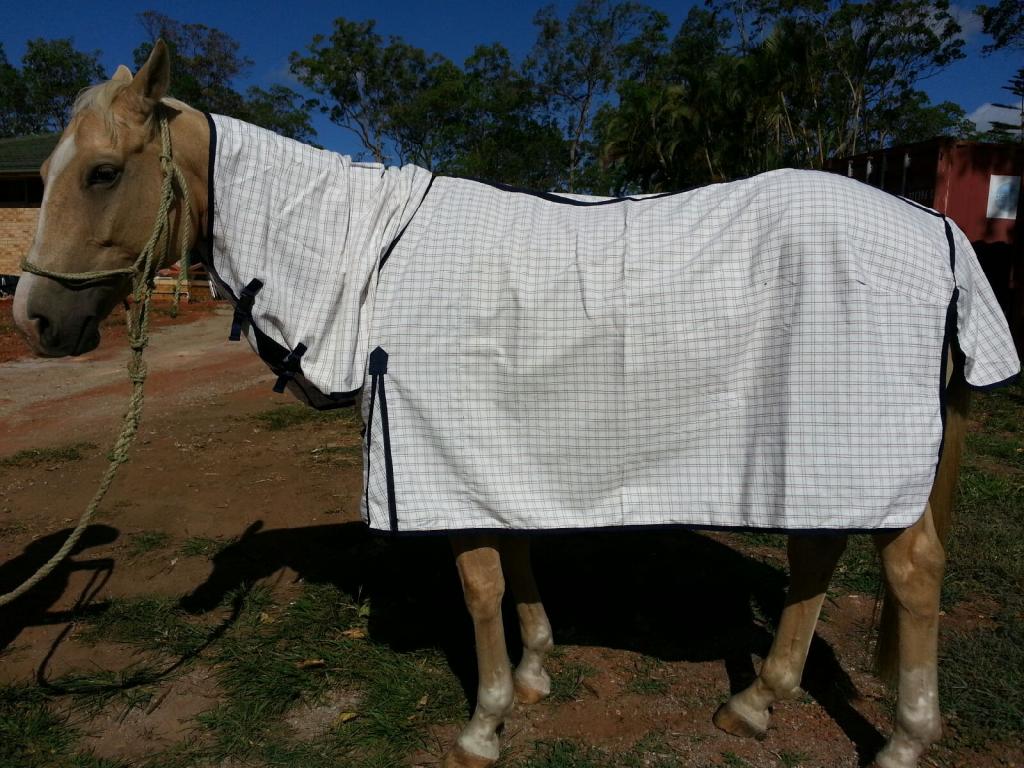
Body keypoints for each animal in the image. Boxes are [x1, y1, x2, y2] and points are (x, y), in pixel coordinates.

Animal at [12, 41, 1019, 768]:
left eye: (102, 172)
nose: (35, 320)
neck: (367, 257)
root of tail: (937, 227)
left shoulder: (437, 448)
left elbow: (480, 583)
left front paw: (485, 722)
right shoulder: (491, 446)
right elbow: (519, 558)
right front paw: (535, 670)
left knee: (911, 572)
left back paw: (901, 741)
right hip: (818, 447)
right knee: (817, 553)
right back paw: (756, 701)